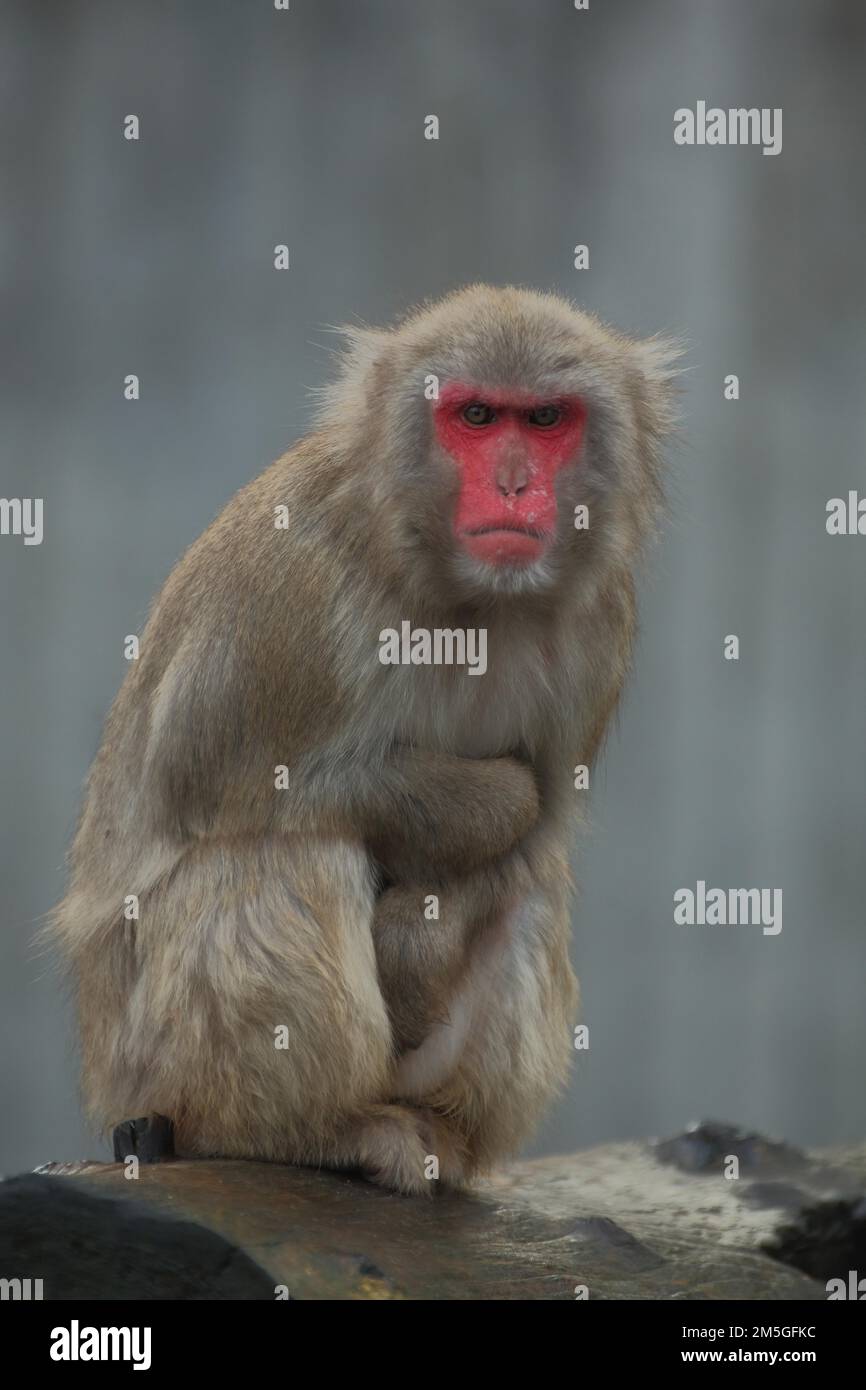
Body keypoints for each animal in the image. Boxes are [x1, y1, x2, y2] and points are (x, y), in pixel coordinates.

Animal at [50, 285, 679, 1195]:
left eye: (546, 418)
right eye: (476, 416)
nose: (515, 482)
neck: (465, 597)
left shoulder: (602, 627)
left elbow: (536, 839)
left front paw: (420, 944)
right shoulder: (289, 589)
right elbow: (217, 780)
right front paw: (483, 805)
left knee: (529, 897)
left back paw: (442, 1128)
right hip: (151, 1068)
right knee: (286, 858)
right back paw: (305, 1130)